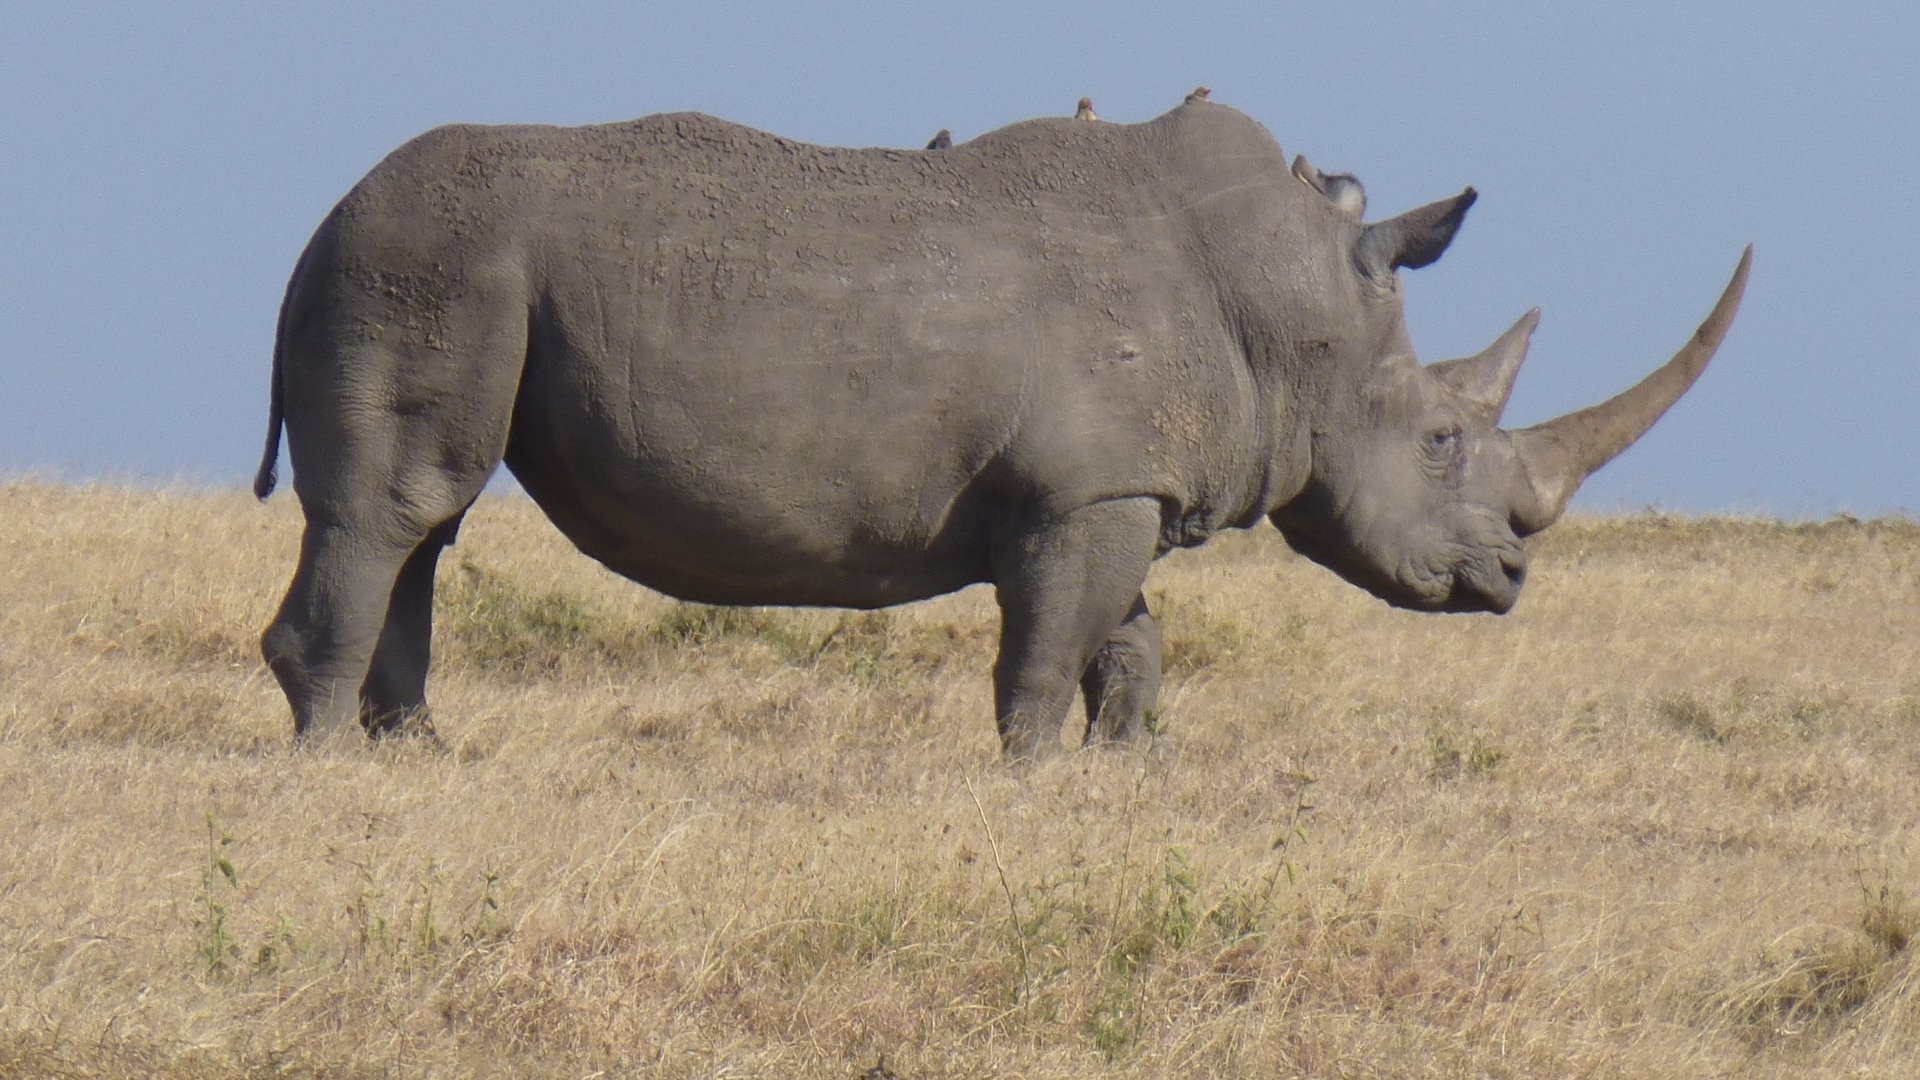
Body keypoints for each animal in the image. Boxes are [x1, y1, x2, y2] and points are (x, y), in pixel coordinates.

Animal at [253, 95, 1749, 759]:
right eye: (1441, 441)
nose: (1507, 579)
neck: (1301, 323)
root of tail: (321, 217)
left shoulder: (1113, 487)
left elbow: (1126, 641)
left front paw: (1124, 769)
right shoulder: (1086, 492)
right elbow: (1044, 654)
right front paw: (1028, 780)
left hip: (437, 263)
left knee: (428, 521)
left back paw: (417, 756)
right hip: (430, 260)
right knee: (400, 506)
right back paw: (333, 766)